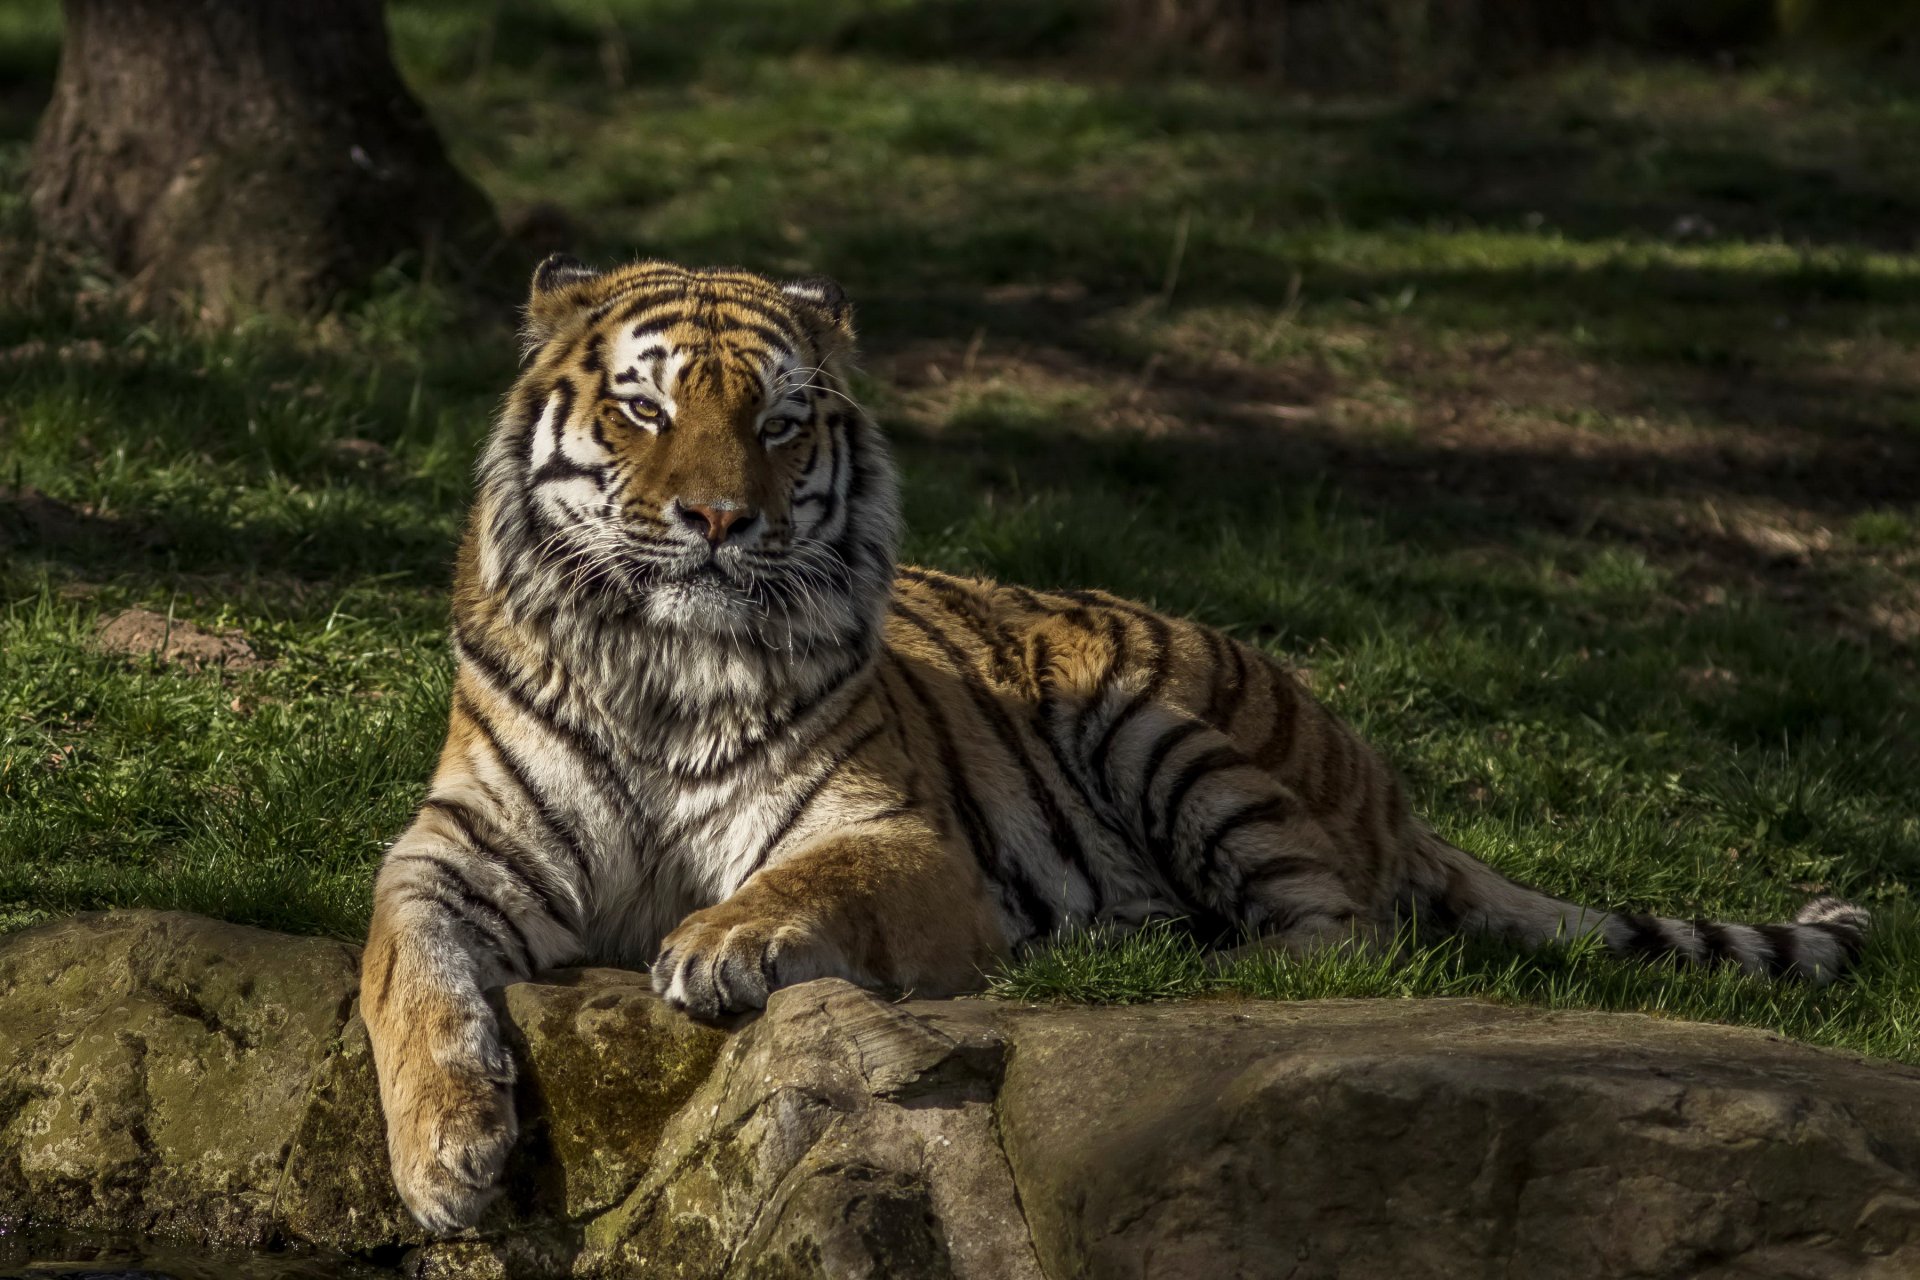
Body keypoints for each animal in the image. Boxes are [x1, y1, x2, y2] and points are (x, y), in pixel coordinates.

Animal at [360, 254, 1871, 1232]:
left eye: (781, 424)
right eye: (645, 408)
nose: (723, 522)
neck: (666, 666)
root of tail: (1389, 786)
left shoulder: (892, 836)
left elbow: (805, 882)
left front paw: (721, 942)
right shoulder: (455, 850)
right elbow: (406, 977)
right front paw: (444, 1156)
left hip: (1149, 715)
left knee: (1339, 943)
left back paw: (1132, 961)